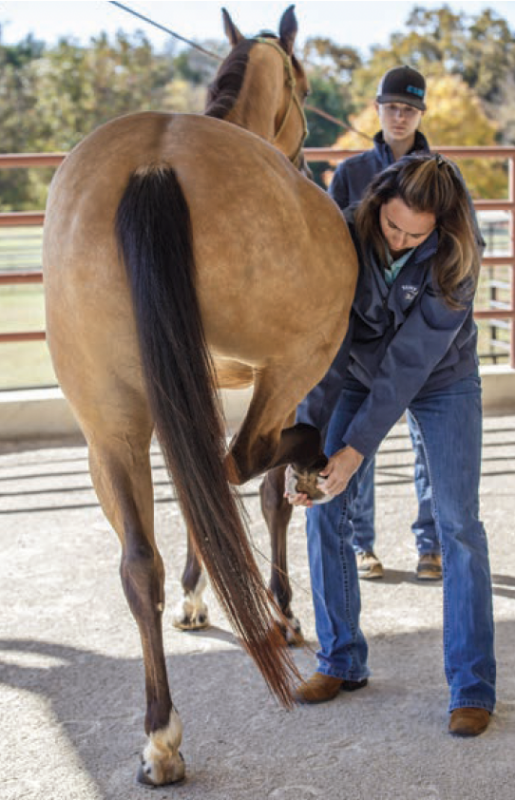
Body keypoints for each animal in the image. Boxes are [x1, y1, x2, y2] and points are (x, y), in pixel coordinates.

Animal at [42, 6, 358, 787]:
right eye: (305, 87)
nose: (304, 156)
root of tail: (154, 164)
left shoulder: (185, 392)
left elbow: (195, 497)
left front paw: (196, 595)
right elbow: (257, 492)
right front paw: (283, 609)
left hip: (110, 426)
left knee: (140, 560)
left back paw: (161, 738)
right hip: (294, 367)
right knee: (240, 467)